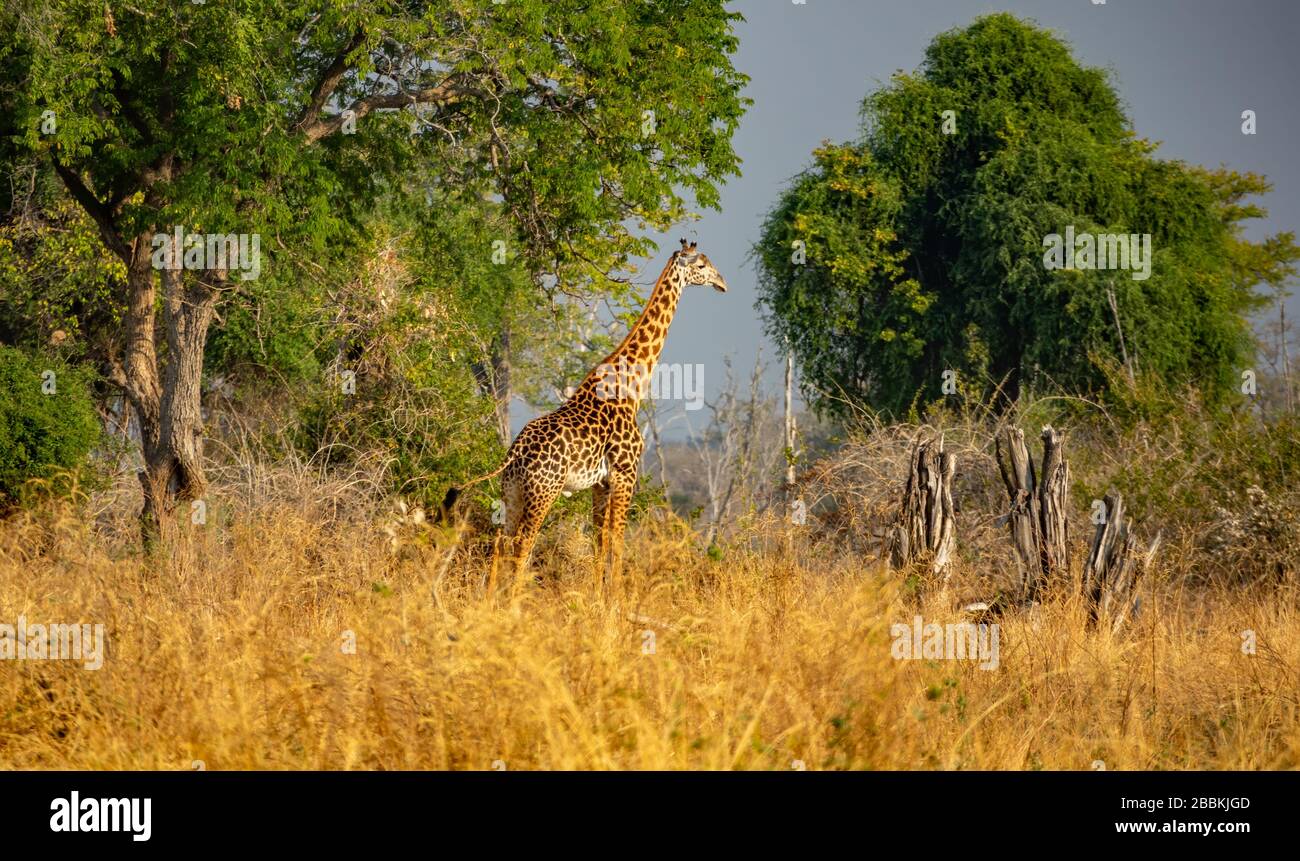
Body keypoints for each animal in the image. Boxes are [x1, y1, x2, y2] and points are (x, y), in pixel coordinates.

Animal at [442, 239, 728, 588]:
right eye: (701, 266)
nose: (723, 283)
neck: (631, 386)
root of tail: (514, 452)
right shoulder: (625, 473)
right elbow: (617, 542)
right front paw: (614, 599)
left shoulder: (600, 483)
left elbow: (598, 542)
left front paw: (596, 594)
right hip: (544, 492)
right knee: (523, 543)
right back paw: (514, 598)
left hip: (512, 491)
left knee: (501, 541)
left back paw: (491, 598)